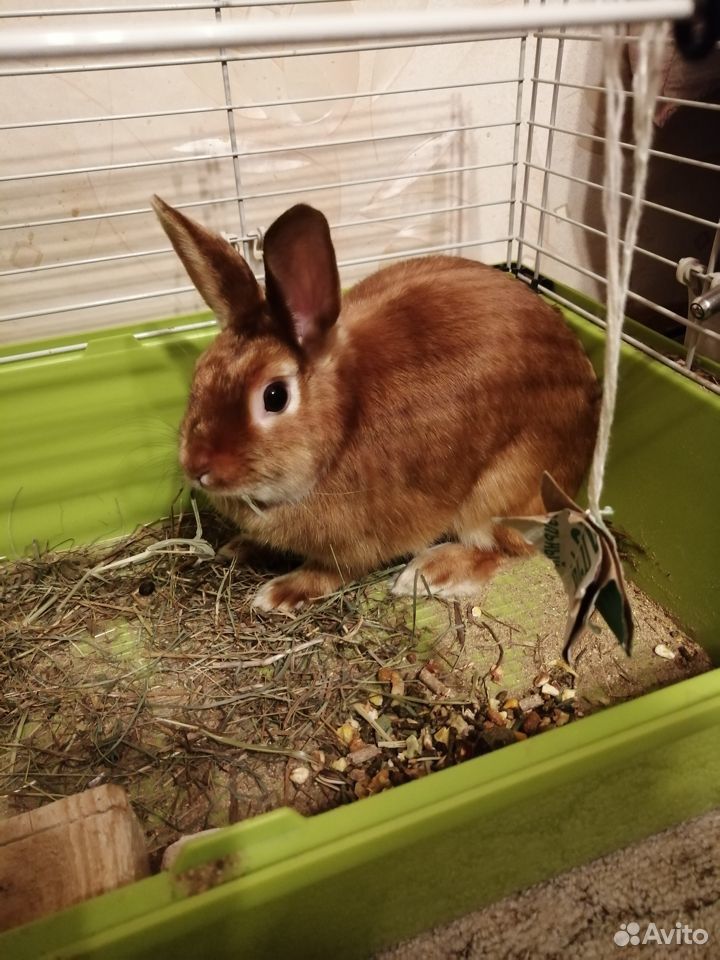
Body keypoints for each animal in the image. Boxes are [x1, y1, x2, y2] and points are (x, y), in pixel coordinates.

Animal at [152, 196, 600, 612]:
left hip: (497, 492)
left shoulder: (359, 543)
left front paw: (281, 593)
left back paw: (428, 573)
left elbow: (331, 571)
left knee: (506, 549)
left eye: (274, 396)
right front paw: (239, 546)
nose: (197, 467)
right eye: (201, 372)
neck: (342, 425)